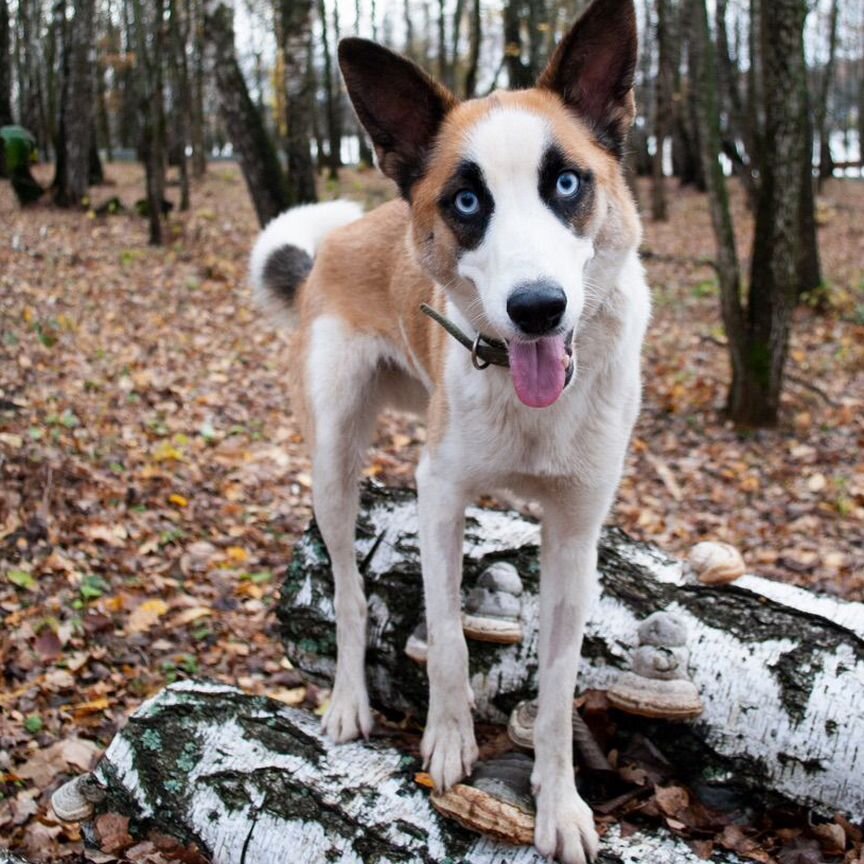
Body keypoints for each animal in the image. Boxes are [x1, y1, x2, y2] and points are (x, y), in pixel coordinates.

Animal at [250, 1, 648, 856]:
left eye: (568, 182)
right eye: (467, 203)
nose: (539, 309)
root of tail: (335, 243)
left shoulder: (576, 531)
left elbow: (559, 683)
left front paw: (560, 803)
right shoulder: (439, 494)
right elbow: (448, 637)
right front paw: (449, 741)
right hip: (332, 461)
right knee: (348, 587)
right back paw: (347, 699)